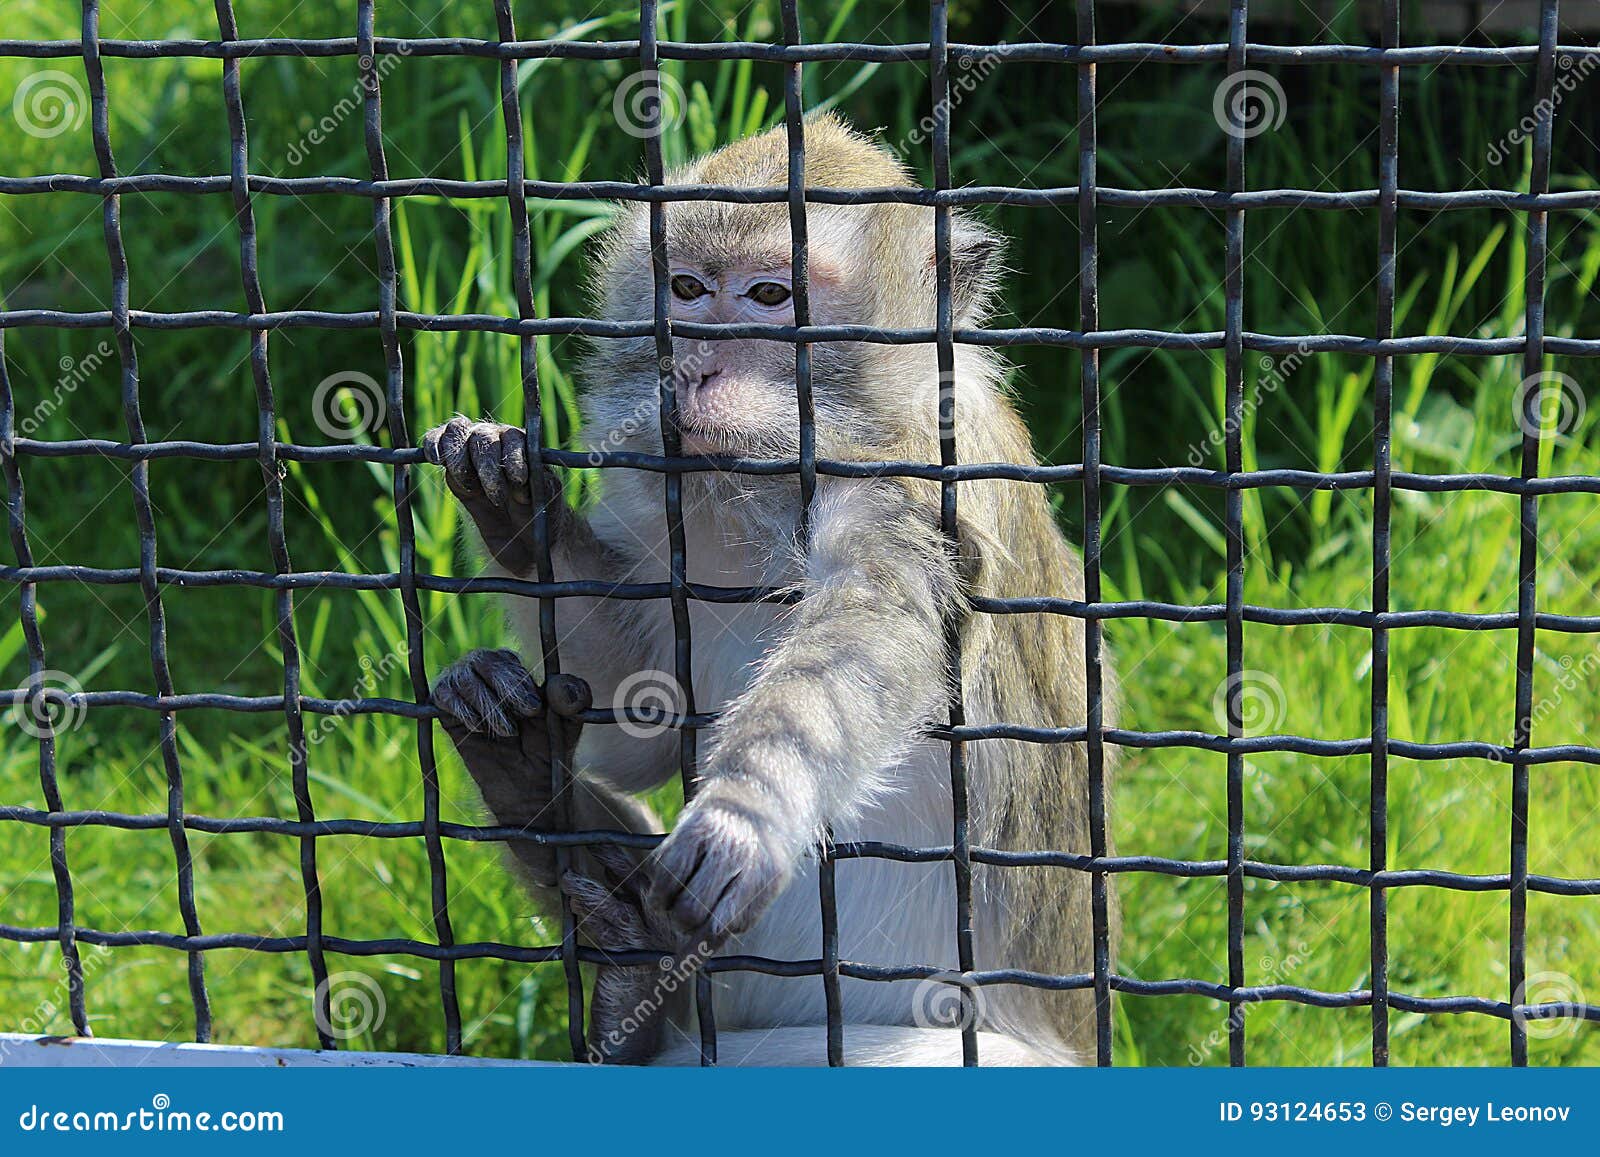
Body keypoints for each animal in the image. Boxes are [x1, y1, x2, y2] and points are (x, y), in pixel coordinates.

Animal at [422, 113, 1114, 1066]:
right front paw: (519, 515)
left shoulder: (906, 484)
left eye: (767, 295)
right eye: (686, 288)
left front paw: (748, 806)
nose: (697, 371)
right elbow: (641, 726)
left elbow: (876, 622)